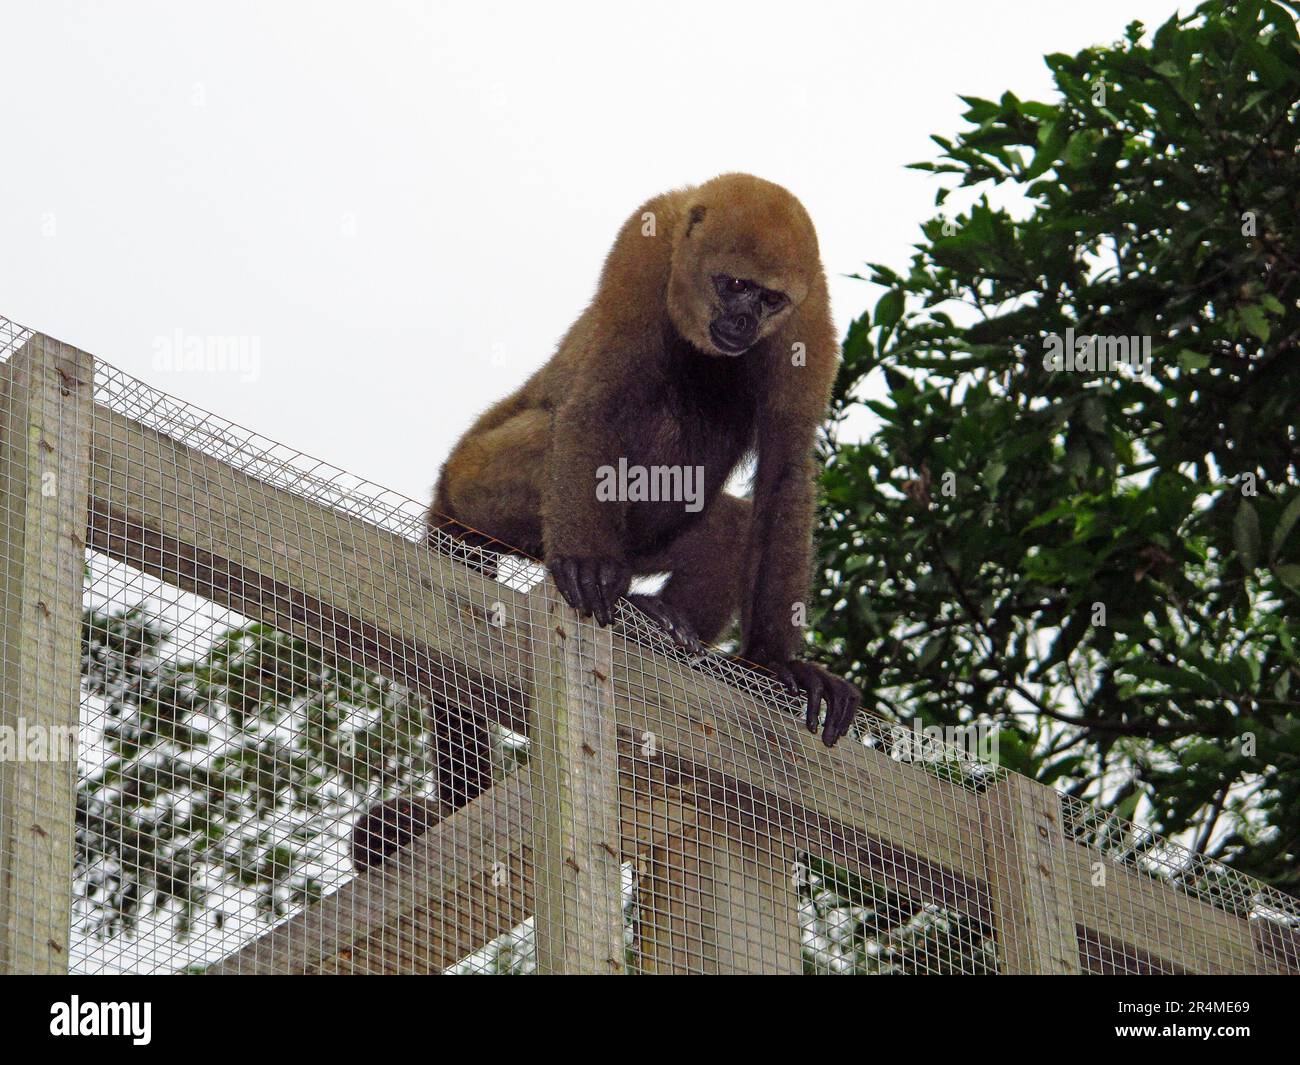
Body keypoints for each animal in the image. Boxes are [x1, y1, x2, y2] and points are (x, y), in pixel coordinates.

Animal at [350, 173, 859, 872]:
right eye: (732, 285)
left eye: (769, 298)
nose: (742, 321)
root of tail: (447, 482)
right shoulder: (644, 248)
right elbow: (604, 391)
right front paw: (591, 569)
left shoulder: (806, 318)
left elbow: (785, 470)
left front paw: (776, 665)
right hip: (483, 481)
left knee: (728, 520)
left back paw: (664, 623)